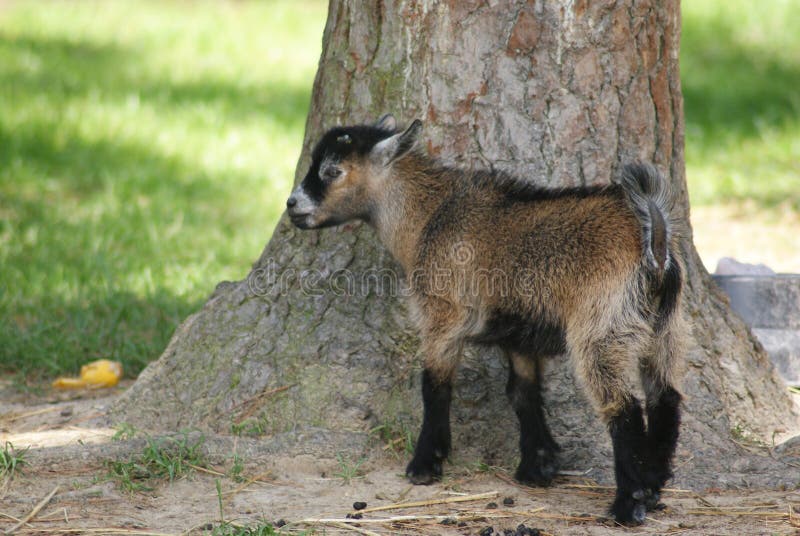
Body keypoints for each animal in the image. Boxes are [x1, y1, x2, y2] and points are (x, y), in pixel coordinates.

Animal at [286, 114, 687, 525]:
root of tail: (654, 246)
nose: (292, 205)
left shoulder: (444, 313)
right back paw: (654, 486)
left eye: (333, 171)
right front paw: (537, 467)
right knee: (665, 396)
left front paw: (424, 465)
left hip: (603, 326)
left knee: (623, 408)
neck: (429, 216)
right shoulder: (518, 333)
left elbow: (435, 384)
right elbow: (523, 391)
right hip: (663, 328)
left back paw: (628, 504)